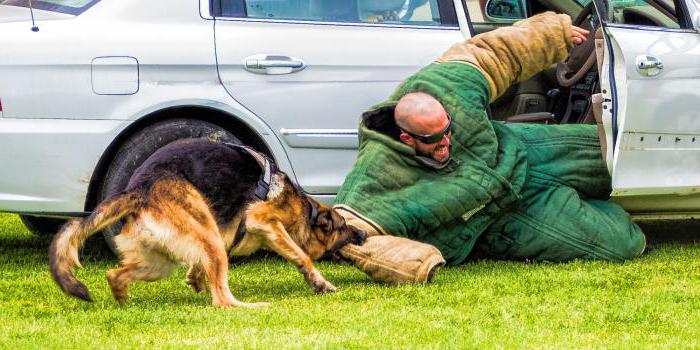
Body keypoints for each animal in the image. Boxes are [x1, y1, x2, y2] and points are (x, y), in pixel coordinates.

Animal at [49, 138, 366, 308]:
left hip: (160, 262)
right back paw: (253, 306)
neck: (304, 208)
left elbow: (198, 269)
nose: (363, 233)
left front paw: (196, 277)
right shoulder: (264, 220)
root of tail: (138, 190)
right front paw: (318, 281)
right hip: (206, 236)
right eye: (342, 226)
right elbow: (302, 256)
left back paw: (126, 304)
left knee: (115, 274)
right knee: (222, 300)